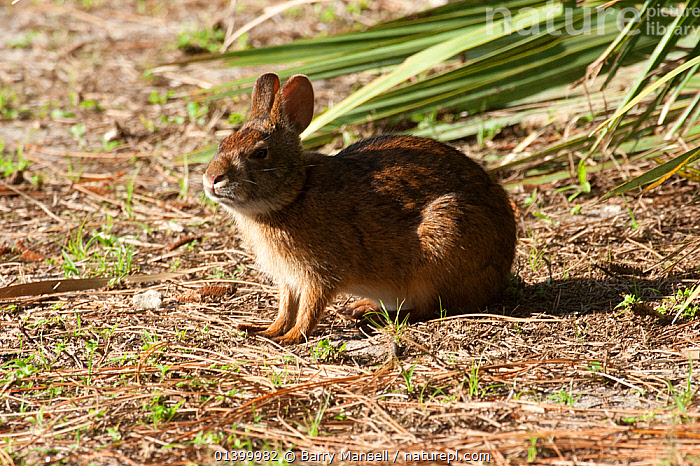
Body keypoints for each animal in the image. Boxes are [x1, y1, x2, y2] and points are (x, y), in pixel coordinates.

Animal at [202, 72, 517, 344]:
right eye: (222, 143)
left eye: (260, 153)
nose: (212, 178)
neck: (295, 195)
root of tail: (500, 273)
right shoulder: (288, 279)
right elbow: (286, 307)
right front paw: (266, 330)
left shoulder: (321, 273)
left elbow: (309, 310)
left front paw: (290, 338)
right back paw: (361, 307)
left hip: (443, 241)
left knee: (428, 308)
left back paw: (373, 315)